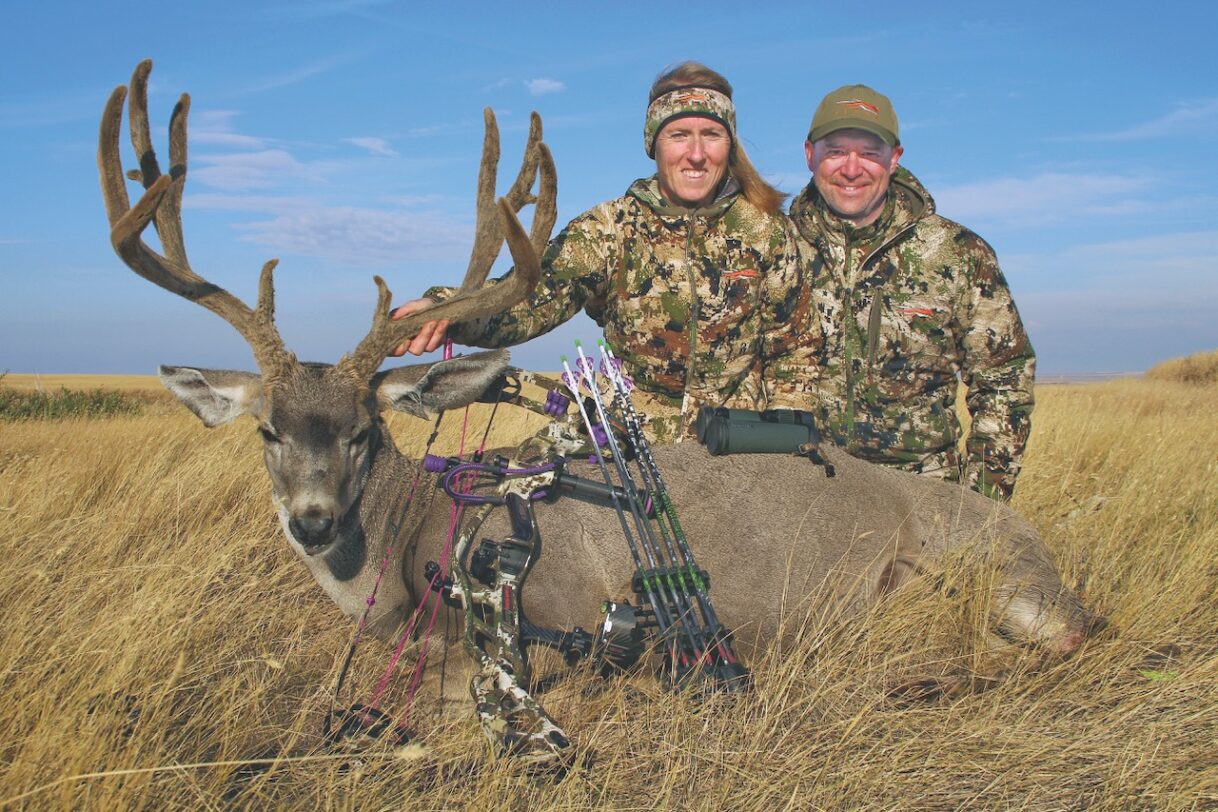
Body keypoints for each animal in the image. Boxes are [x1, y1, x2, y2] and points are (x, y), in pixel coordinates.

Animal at [100, 61, 1099, 757]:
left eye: (359, 432)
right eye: (268, 429)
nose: (310, 521)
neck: (411, 546)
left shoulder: (548, 623)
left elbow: (405, 708)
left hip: (1003, 575)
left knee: (1065, 638)